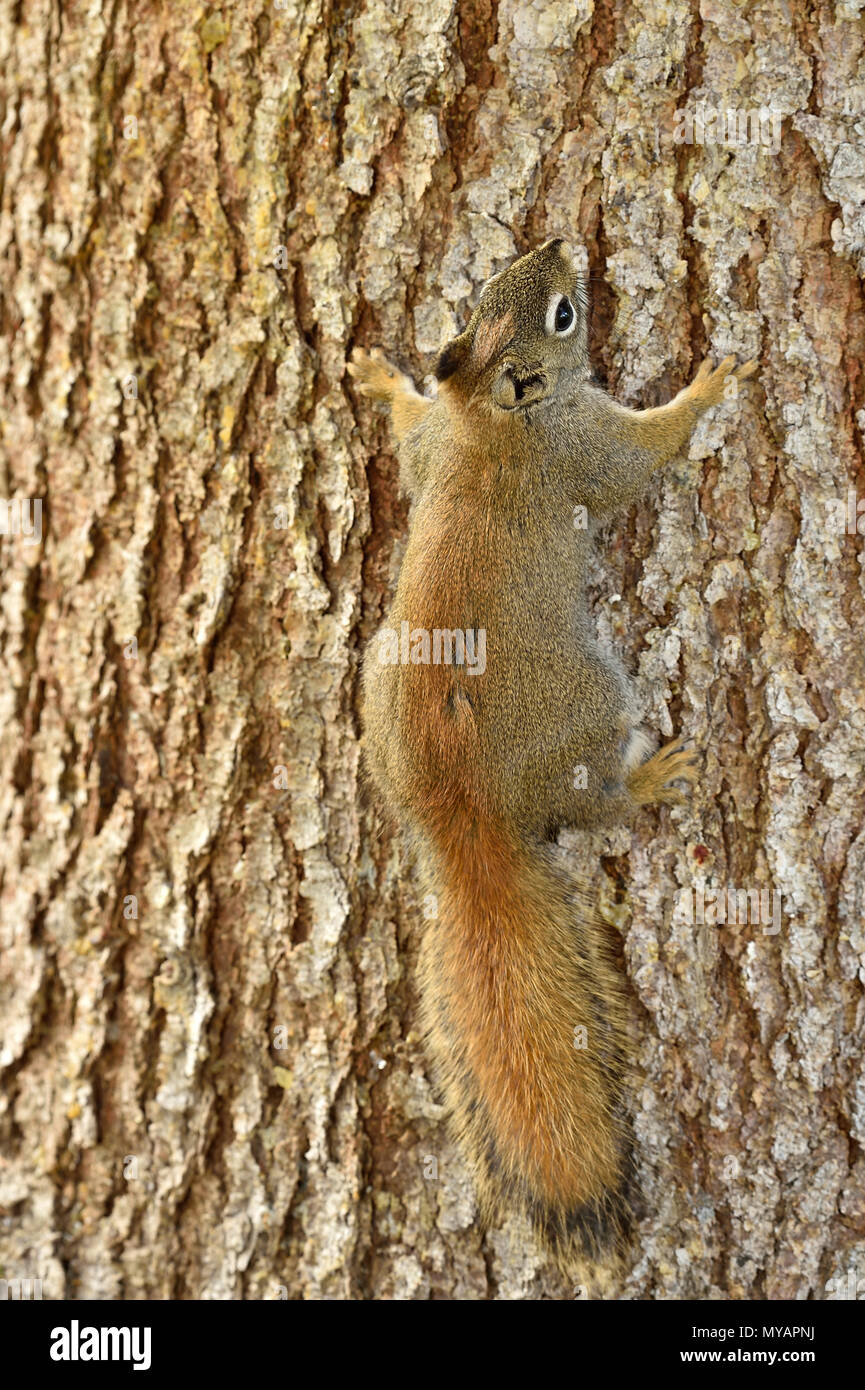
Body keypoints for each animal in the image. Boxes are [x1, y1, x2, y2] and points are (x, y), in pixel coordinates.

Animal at [349, 238, 756, 1267]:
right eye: (564, 316)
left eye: (490, 286)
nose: (561, 243)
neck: (490, 418)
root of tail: (466, 820)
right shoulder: (581, 448)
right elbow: (642, 457)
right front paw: (705, 389)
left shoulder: (435, 441)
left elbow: (408, 429)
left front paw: (380, 377)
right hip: (593, 706)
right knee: (593, 802)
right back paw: (648, 780)